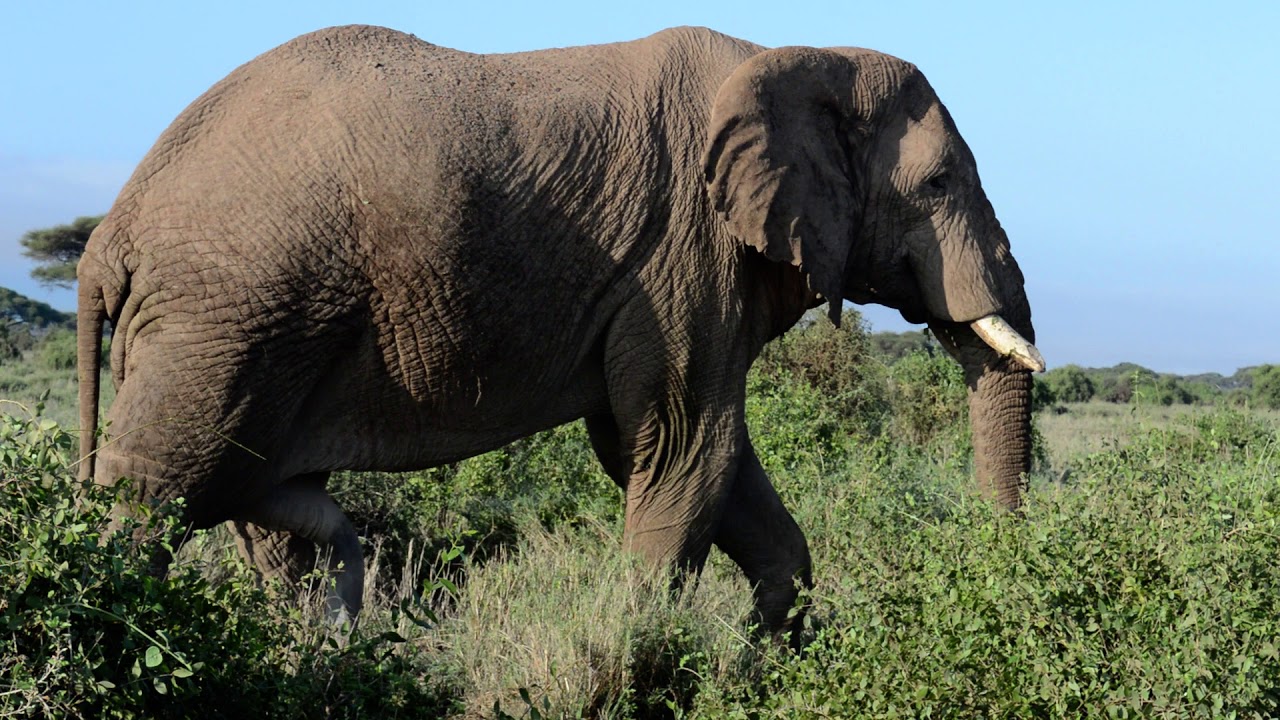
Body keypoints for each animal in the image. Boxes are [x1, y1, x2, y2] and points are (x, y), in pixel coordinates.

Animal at [77, 25, 1042, 631]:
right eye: (939, 185)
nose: (999, 567)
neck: (795, 54)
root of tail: (109, 235)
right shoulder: (683, 256)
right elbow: (685, 450)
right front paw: (641, 658)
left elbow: (700, 463)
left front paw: (761, 660)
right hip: (225, 312)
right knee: (152, 500)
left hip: (245, 322)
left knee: (266, 518)